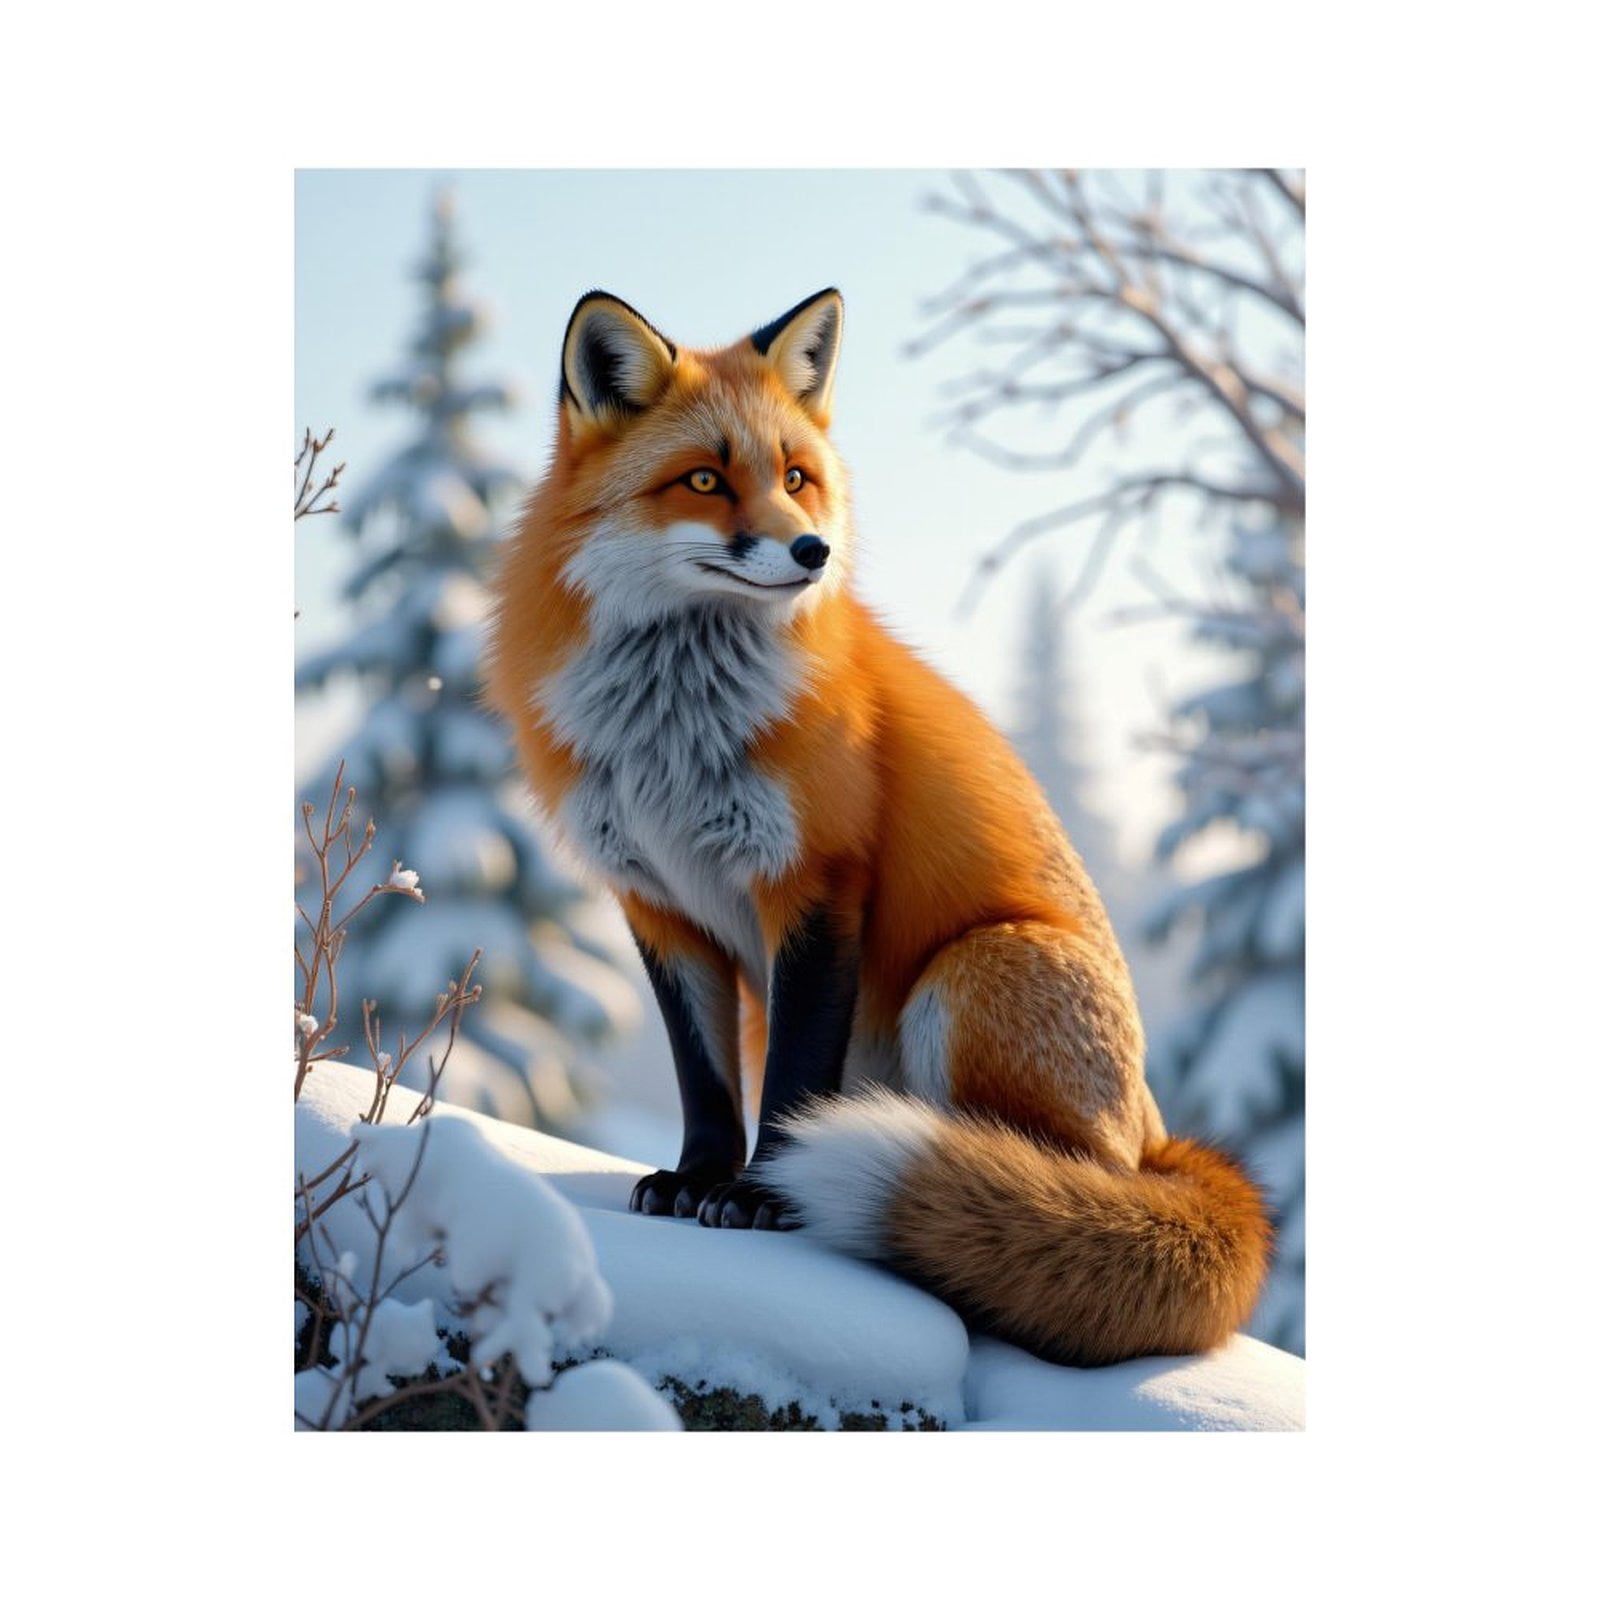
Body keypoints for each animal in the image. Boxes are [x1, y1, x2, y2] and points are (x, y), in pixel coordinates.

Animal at [486, 287, 1272, 1366]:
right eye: (704, 481)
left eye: (796, 479)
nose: (811, 551)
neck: (674, 732)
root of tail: (1155, 1132)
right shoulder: (658, 904)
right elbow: (704, 1080)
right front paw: (697, 1180)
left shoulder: (817, 881)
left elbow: (793, 1082)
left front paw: (763, 1199)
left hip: (976, 969)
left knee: (1045, 1194)